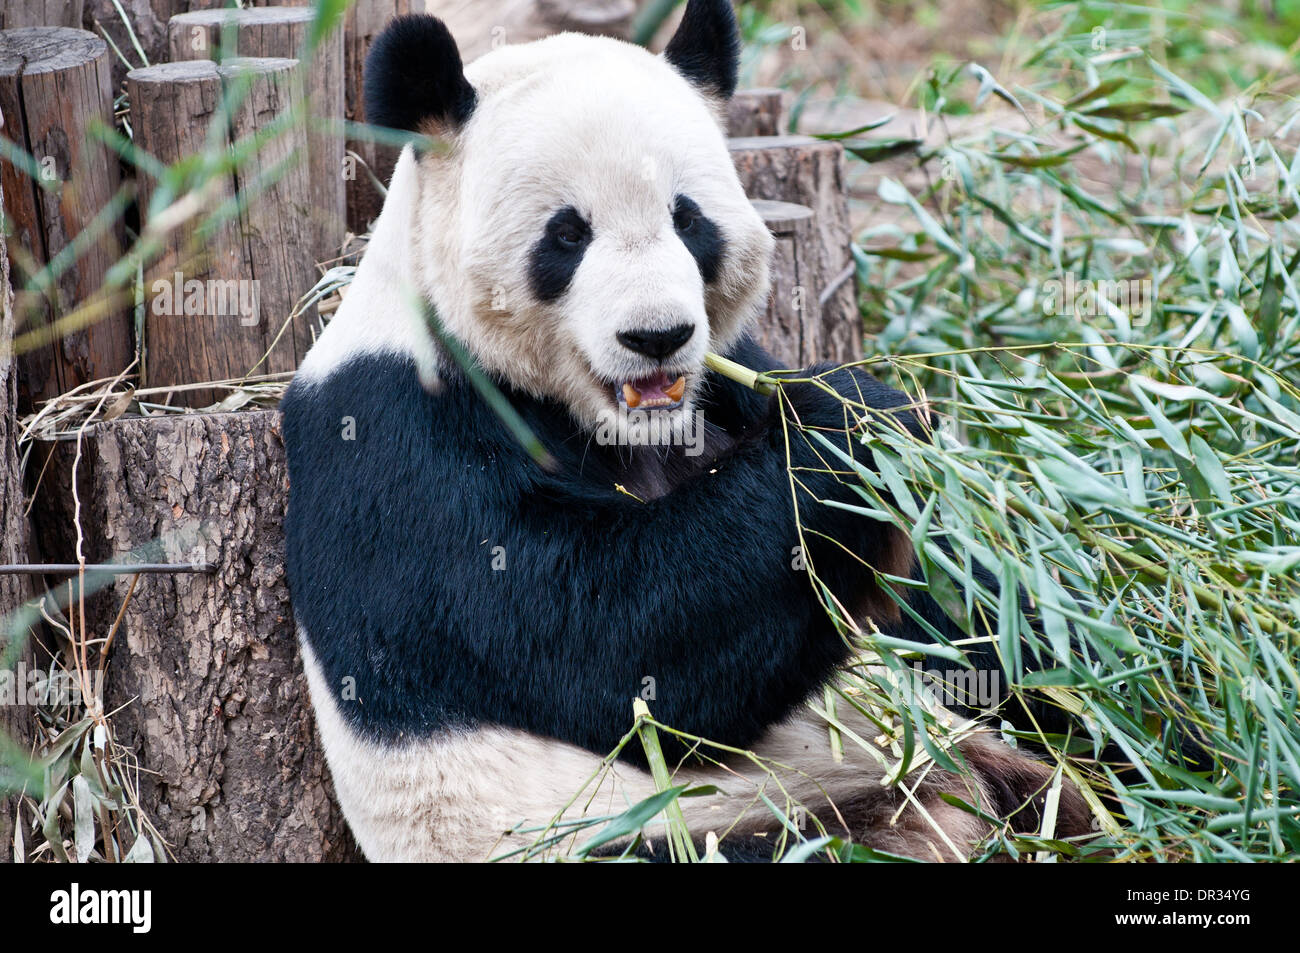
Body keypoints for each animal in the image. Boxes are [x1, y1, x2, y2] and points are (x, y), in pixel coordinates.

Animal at [281, 0, 1092, 862]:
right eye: (567, 234)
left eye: (687, 218)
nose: (657, 336)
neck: (612, 422)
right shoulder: (399, 443)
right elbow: (618, 648)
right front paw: (853, 418)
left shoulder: (727, 381)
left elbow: (948, 604)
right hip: (686, 830)